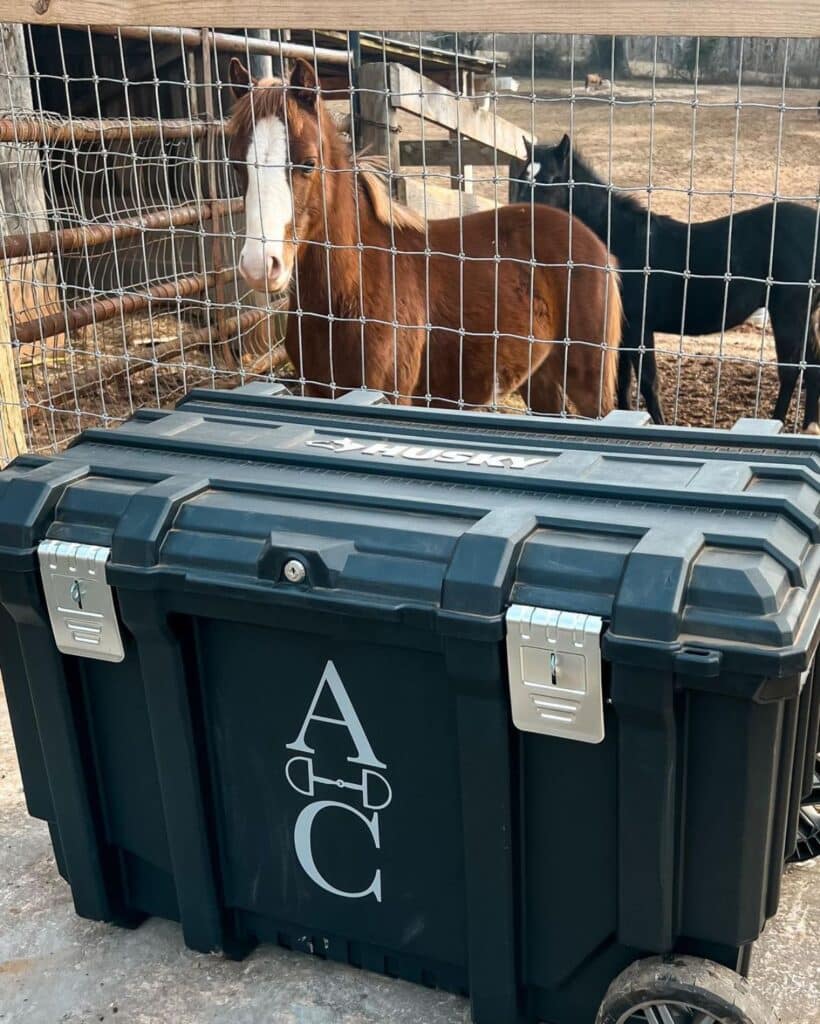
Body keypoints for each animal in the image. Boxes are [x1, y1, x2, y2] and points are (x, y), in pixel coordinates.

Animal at [227, 59, 621, 417]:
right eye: (235, 164)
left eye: (308, 163)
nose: (260, 265)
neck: (350, 291)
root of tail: (591, 240)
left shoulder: (390, 394)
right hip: (539, 376)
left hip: (589, 380)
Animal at [510, 133, 820, 431]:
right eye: (522, 177)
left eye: (552, 178)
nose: (519, 219)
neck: (621, 238)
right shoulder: (624, 329)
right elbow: (623, 382)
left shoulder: (639, 326)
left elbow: (649, 382)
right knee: (813, 365)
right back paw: (810, 426)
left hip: (789, 314)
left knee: (791, 370)